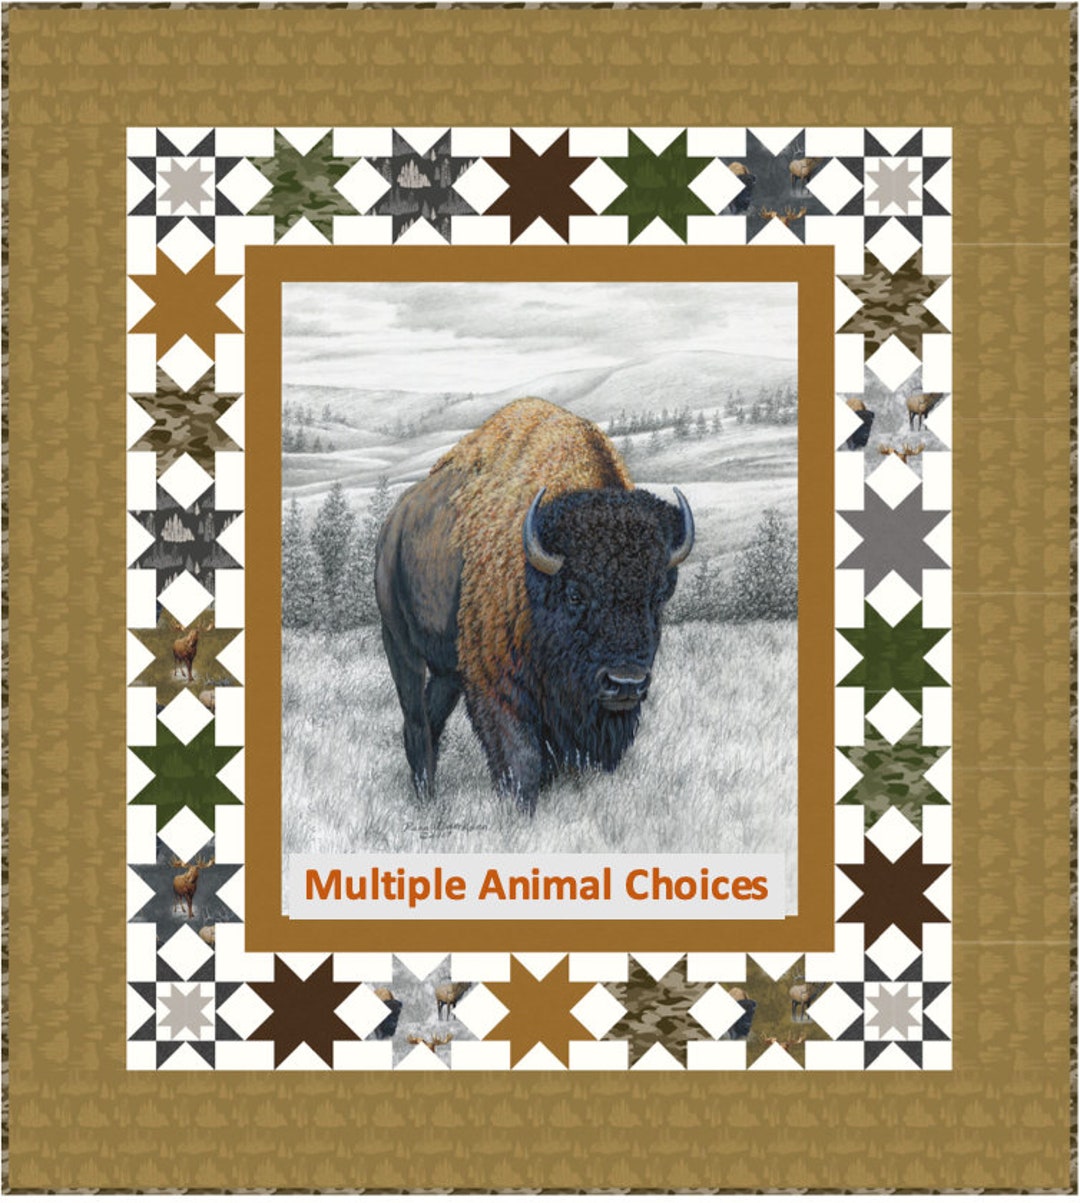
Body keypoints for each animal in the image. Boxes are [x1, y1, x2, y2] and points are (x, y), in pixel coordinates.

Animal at [374, 398, 694, 814]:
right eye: (575, 594)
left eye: (657, 597)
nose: (626, 682)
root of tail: (394, 523)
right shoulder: (497, 683)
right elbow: (521, 757)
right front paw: (520, 810)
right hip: (399, 642)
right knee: (415, 719)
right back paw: (426, 799)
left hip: (448, 670)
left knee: (431, 718)